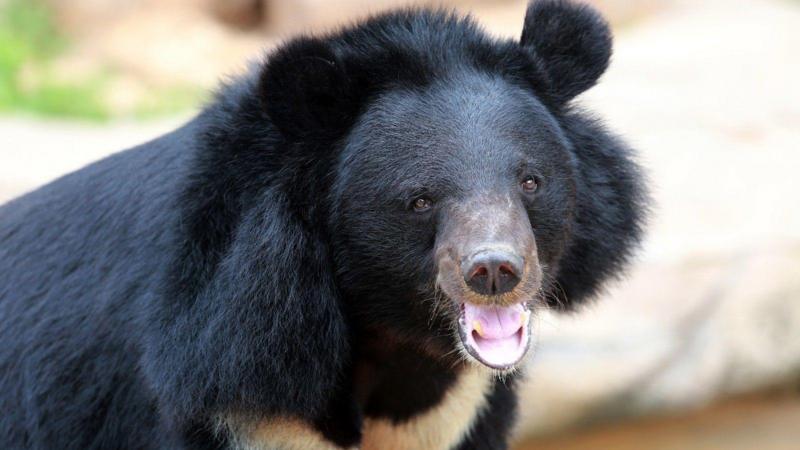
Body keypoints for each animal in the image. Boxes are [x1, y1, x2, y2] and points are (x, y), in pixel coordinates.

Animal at [0, 0, 647, 449]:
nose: (494, 271)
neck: (393, 341)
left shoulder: (457, 414)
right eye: (419, 200)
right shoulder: (226, 384)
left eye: (531, 182)